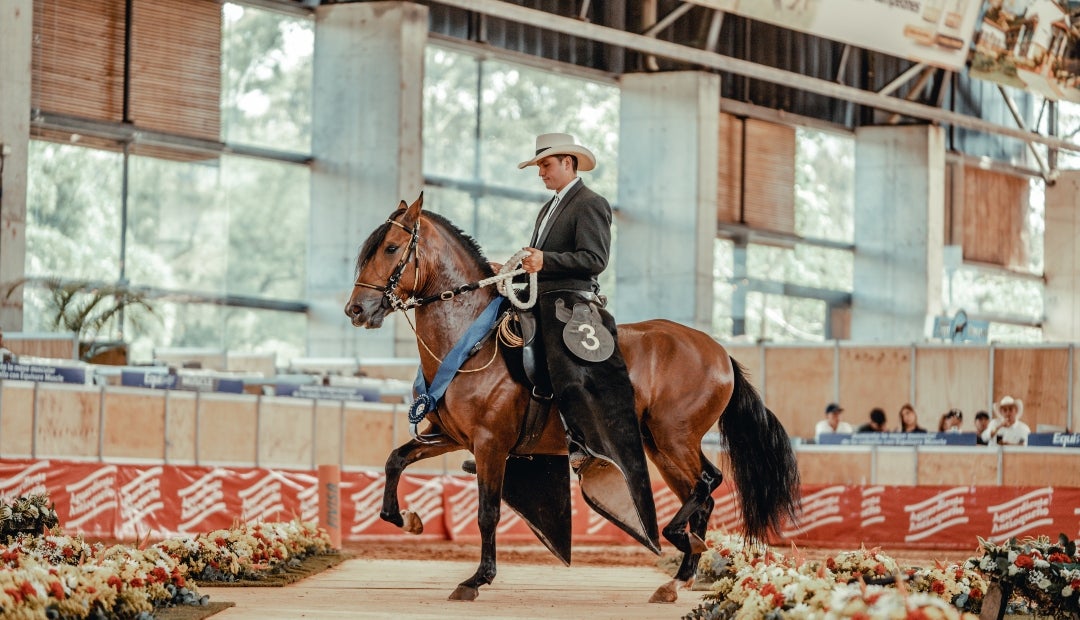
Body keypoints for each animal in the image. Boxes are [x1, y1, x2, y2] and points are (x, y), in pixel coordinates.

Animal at [344, 194, 801, 603]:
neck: (470, 340)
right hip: (660, 447)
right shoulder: (452, 436)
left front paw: (476, 580)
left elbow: (487, 513)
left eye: (391, 248)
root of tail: (719, 352)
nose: (356, 310)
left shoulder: (491, 444)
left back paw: (677, 544)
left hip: (674, 437)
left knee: (709, 480)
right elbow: (395, 461)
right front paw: (408, 520)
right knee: (701, 495)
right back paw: (678, 579)